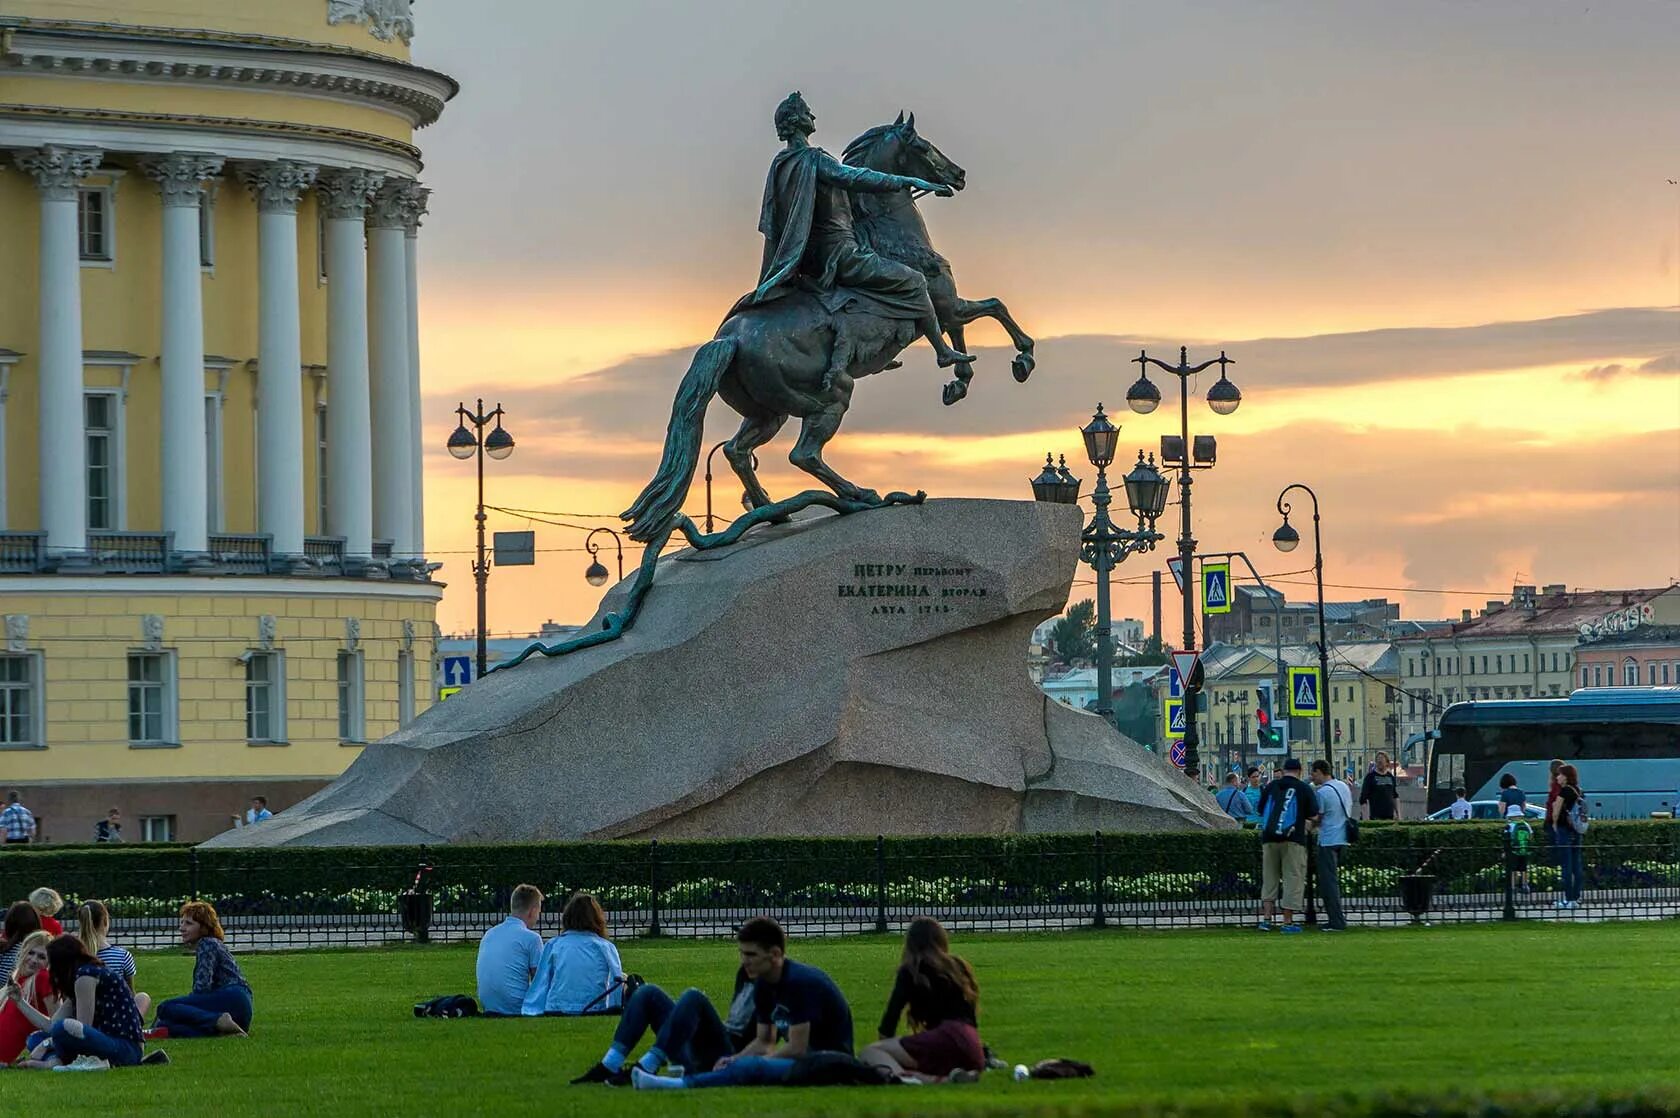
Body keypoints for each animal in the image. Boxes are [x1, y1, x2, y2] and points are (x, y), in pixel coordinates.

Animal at [624, 115, 1028, 541]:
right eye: (922, 146)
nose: (958, 175)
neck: (894, 243)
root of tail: (727, 339)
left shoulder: (948, 308)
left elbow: (964, 335)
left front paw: (957, 383)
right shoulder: (942, 301)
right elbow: (993, 309)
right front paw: (1022, 359)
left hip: (769, 412)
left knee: (738, 451)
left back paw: (773, 511)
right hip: (831, 394)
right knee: (803, 454)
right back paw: (859, 494)